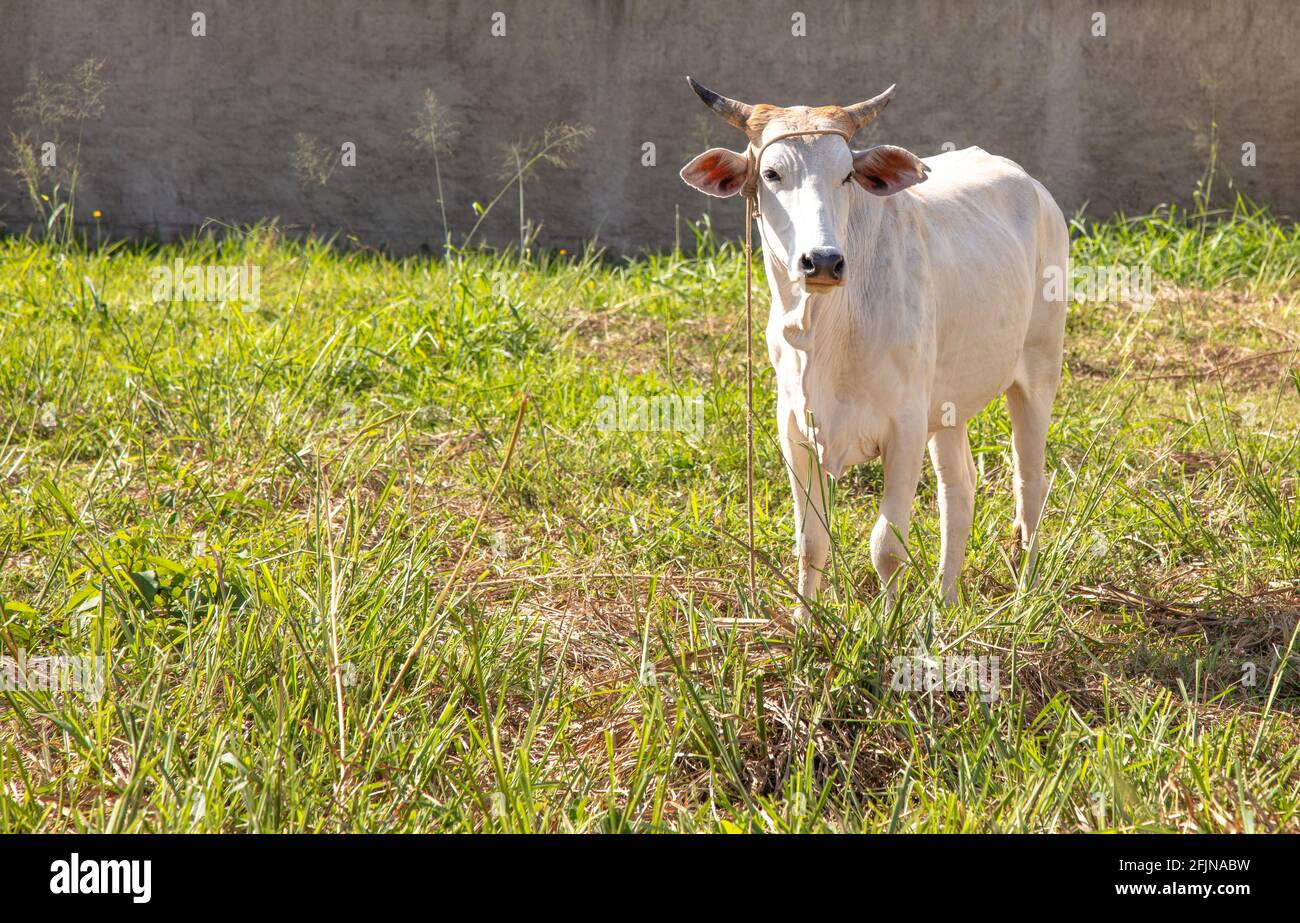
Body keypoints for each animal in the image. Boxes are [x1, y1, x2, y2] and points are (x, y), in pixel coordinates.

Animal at [679, 78, 1068, 620]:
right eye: (772, 173)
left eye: (847, 175)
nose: (822, 261)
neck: (825, 328)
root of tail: (1032, 186)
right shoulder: (795, 429)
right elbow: (811, 542)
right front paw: (803, 623)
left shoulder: (904, 429)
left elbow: (886, 545)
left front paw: (888, 624)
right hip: (946, 404)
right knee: (959, 489)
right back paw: (945, 601)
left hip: (1038, 372)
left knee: (1029, 485)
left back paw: (1023, 597)